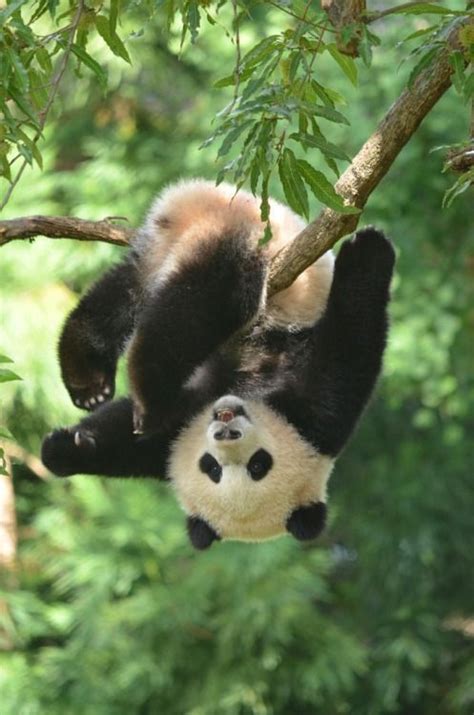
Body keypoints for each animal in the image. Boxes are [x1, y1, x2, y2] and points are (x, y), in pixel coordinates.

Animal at [41, 179, 395, 549]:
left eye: (257, 466)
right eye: (212, 467)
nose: (225, 425)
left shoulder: (185, 425)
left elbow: (129, 442)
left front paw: (68, 449)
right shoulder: (316, 418)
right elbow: (346, 358)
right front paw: (368, 255)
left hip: (169, 249)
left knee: (126, 290)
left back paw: (88, 376)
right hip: (250, 240)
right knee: (203, 304)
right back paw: (146, 395)